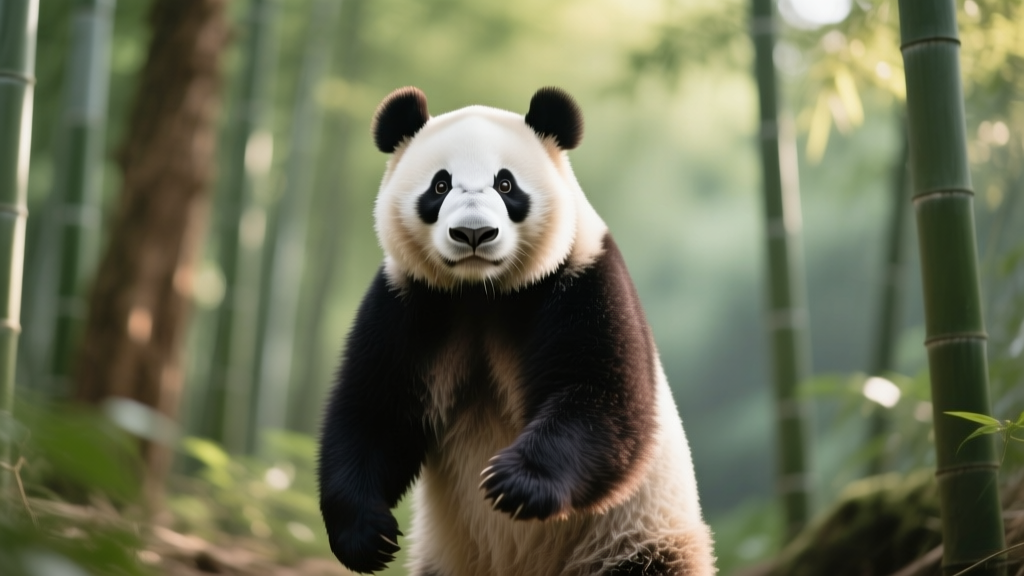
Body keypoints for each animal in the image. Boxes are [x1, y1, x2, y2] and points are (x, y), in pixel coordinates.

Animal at [318, 86, 716, 576]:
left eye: (506, 185)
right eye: (440, 185)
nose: (473, 233)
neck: (481, 291)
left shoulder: (581, 279)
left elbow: (602, 397)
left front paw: (515, 483)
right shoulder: (410, 301)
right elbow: (375, 408)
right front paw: (365, 535)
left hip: (633, 538)